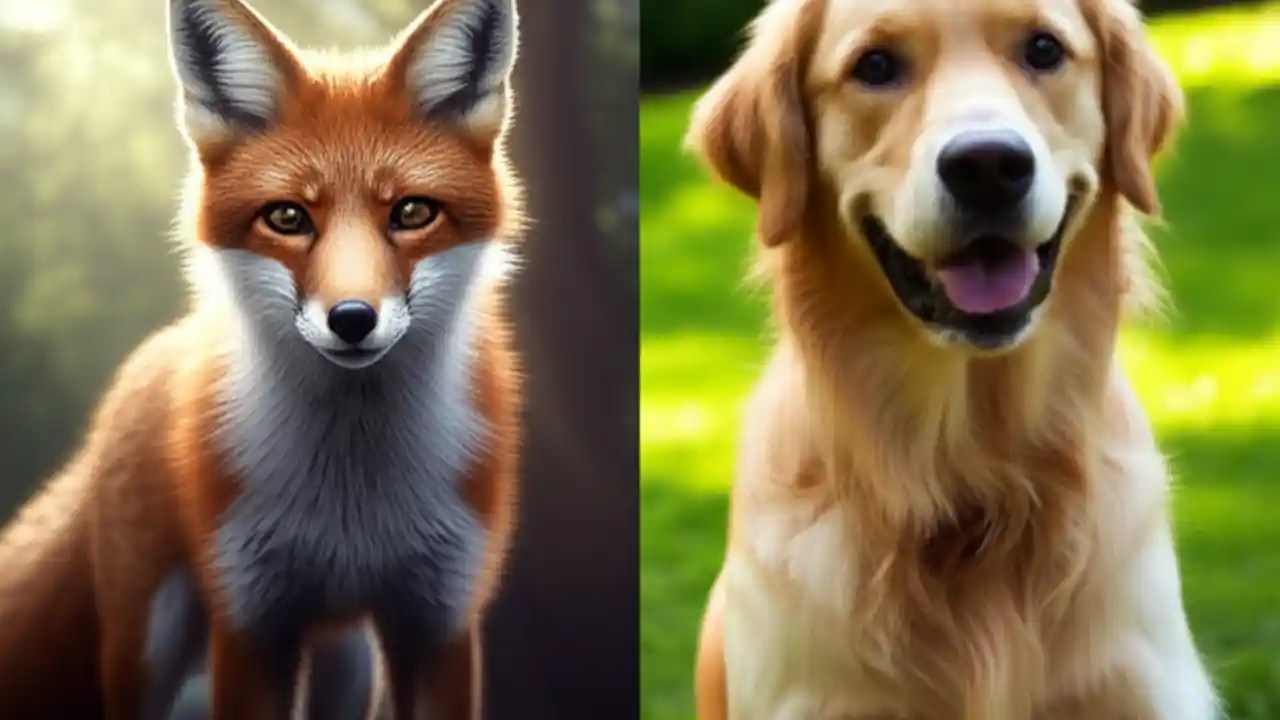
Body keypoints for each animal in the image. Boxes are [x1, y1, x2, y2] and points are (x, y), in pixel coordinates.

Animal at [0, 0, 522, 718]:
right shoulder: (250, 621)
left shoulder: (439, 620)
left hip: (346, 662)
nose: (352, 320)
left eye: (413, 212)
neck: (355, 494)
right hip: (150, 646)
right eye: (288, 218)